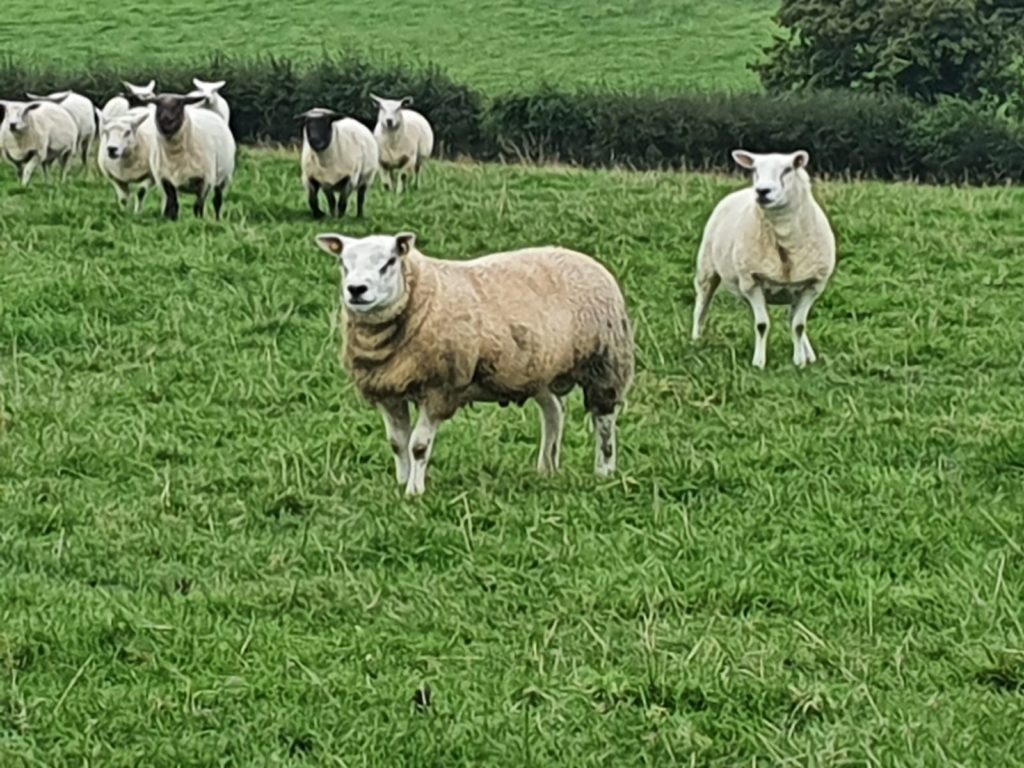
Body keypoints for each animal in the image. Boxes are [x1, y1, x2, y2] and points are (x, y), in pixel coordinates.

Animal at [314, 230, 635, 496]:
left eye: (390, 262)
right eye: (343, 262)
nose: (356, 290)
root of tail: (582, 257)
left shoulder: (439, 389)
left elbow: (418, 446)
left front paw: (414, 492)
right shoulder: (388, 389)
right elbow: (397, 443)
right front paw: (401, 482)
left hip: (605, 361)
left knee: (604, 421)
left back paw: (604, 471)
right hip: (538, 369)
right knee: (554, 410)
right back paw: (547, 467)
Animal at [692, 149, 837, 369]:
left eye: (788, 169)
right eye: (755, 170)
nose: (761, 191)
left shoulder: (812, 285)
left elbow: (799, 326)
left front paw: (800, 362)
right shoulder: (752, 282)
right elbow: (762, 325)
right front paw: (759, 363)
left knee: (793, 319)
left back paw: (809, 354)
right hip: (707, 267)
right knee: (702, 302)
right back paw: (695, 339)